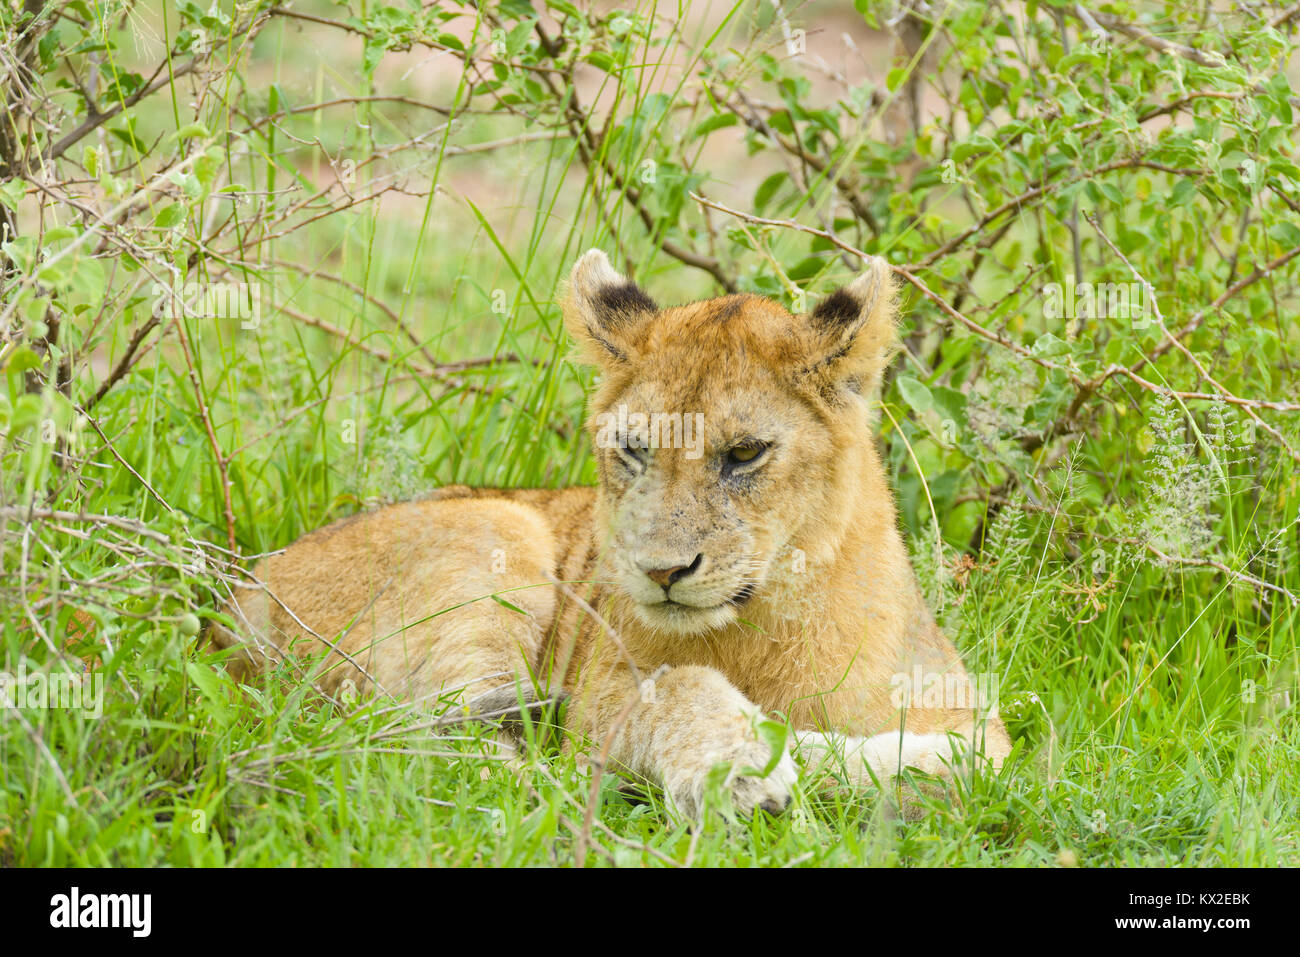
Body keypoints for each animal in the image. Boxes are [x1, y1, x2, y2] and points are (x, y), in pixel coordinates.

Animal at [210, 250, 1010, 817]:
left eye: (745, 453)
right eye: (632, 448)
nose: (660, 571)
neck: (760, 621)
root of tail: (233, 601)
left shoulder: (974, 720)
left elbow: (973, 766)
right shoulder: (602, 694)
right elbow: (675, 685)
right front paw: (745, 762)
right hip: (495, 538)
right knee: (409, 738)